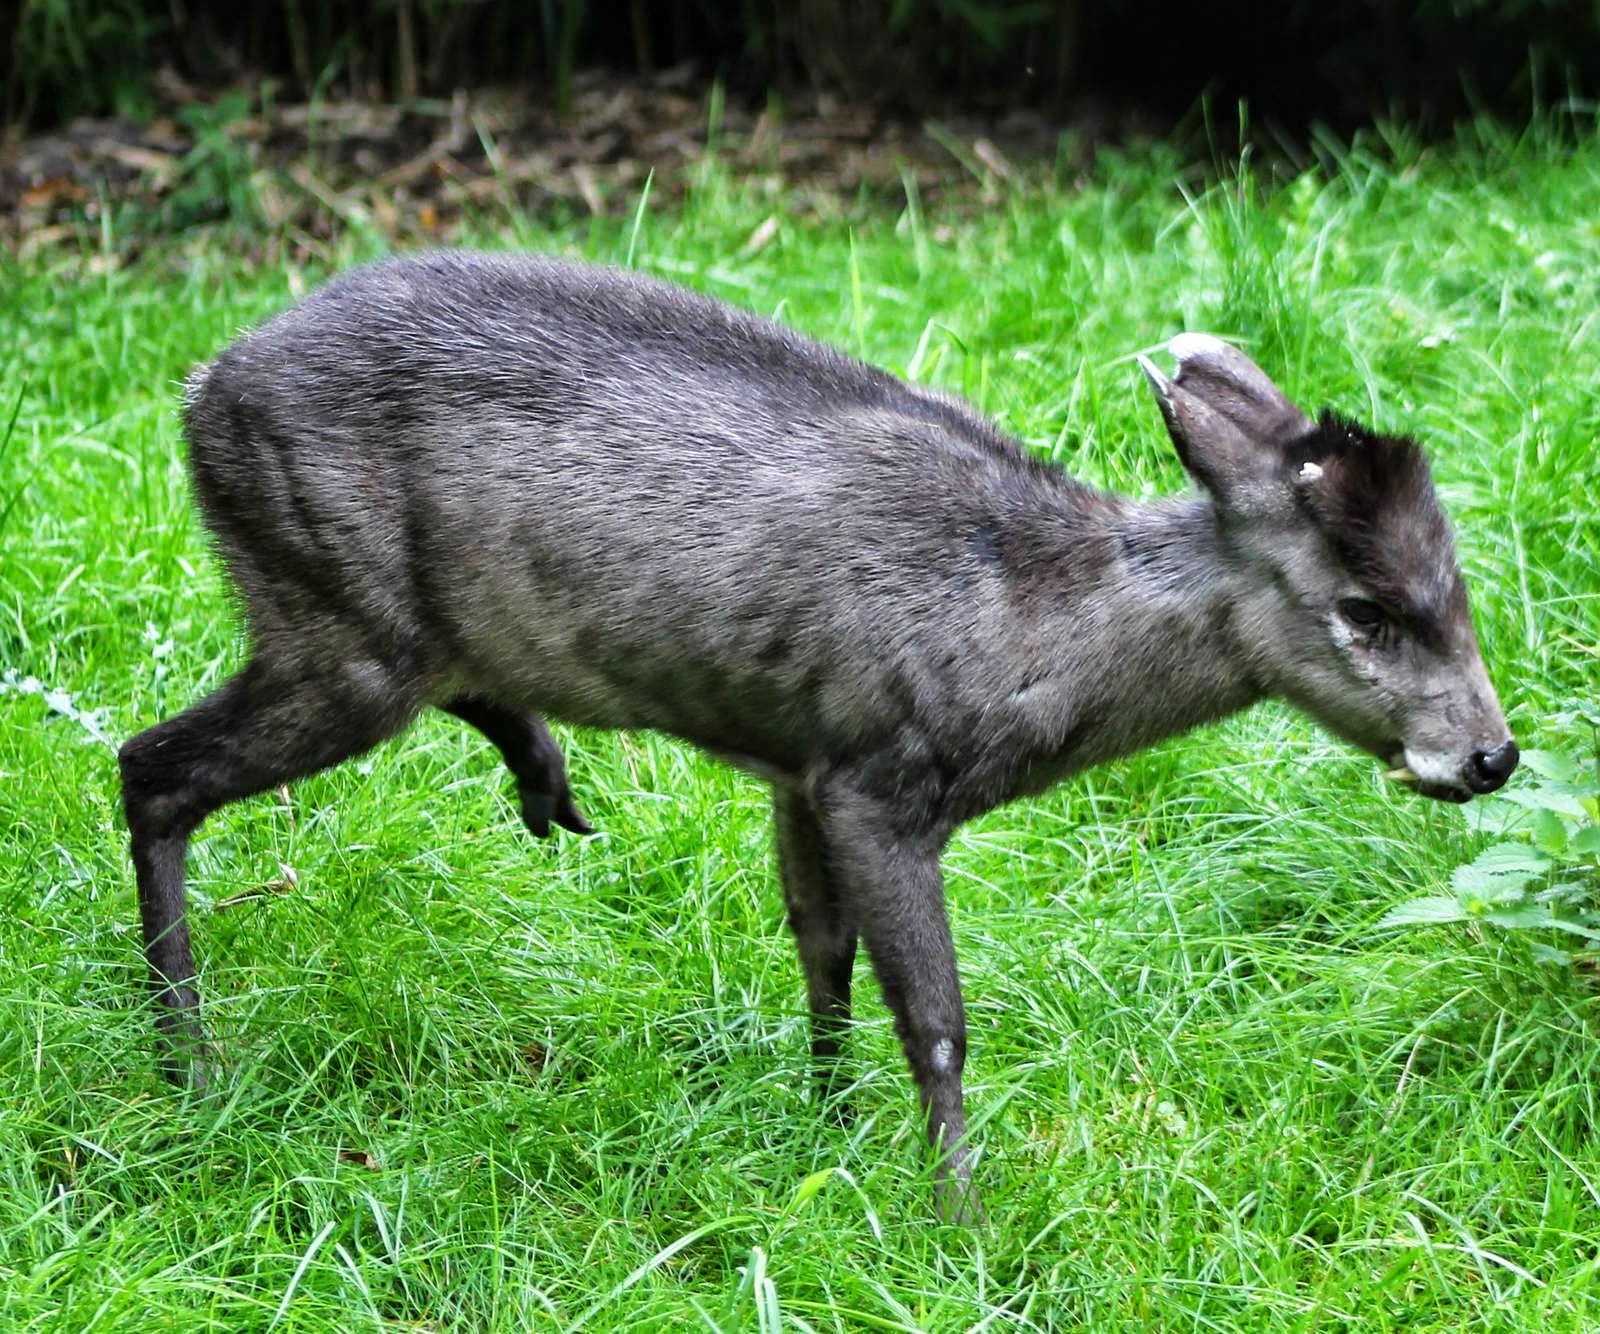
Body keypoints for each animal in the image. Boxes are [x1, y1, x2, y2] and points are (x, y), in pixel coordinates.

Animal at [119, 251, 1517, 1222]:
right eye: (1365, 608)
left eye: (1453, 583)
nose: (1491, 756)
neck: (1025, 623)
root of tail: (196, 392)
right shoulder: (879, 776)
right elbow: (936, 1016)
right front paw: (958, 1215)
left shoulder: (800, 761)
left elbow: (820, 954)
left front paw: (826, 1128)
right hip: (334, 621)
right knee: (149, 768)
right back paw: (188, 1068)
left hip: (377, 627)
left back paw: (543, 777)